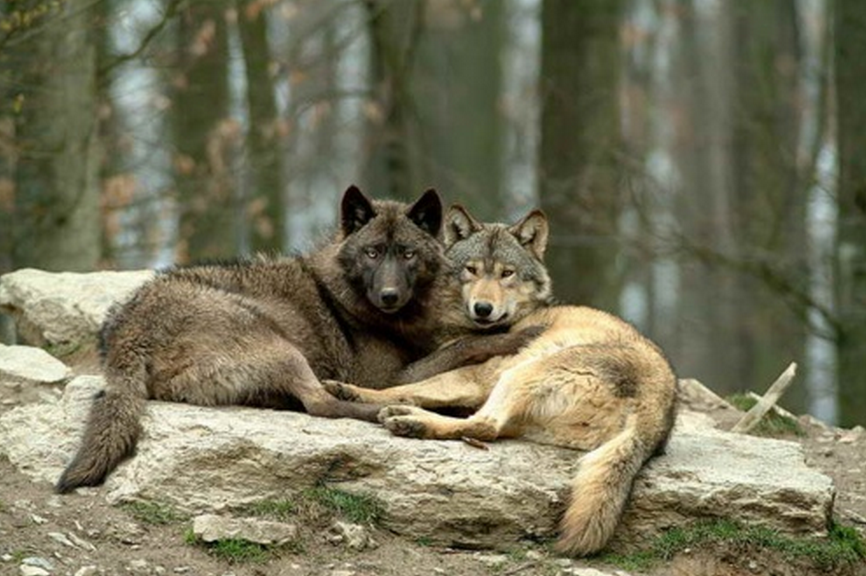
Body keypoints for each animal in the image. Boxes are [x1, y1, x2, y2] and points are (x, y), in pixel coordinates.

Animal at [55, 186, 531, 494]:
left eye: (408, 254)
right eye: (372, 253)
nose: (389, 295)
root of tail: (126, 333)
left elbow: (457, 343)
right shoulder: (387, 374)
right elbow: (465, 345)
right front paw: (520, 332)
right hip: (280, 345)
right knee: (323, 403)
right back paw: (398, 413)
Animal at [325, 205, 679, 556]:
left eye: (507, 273)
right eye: (472, 270)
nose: (483, 308)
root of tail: (657, 417)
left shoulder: (475, 376)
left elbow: (399, 388)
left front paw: (349, 391)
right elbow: (409, 391)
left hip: (519, 374)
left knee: (484, 426)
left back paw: (411, 422)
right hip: (525, 414)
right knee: (485, 427)